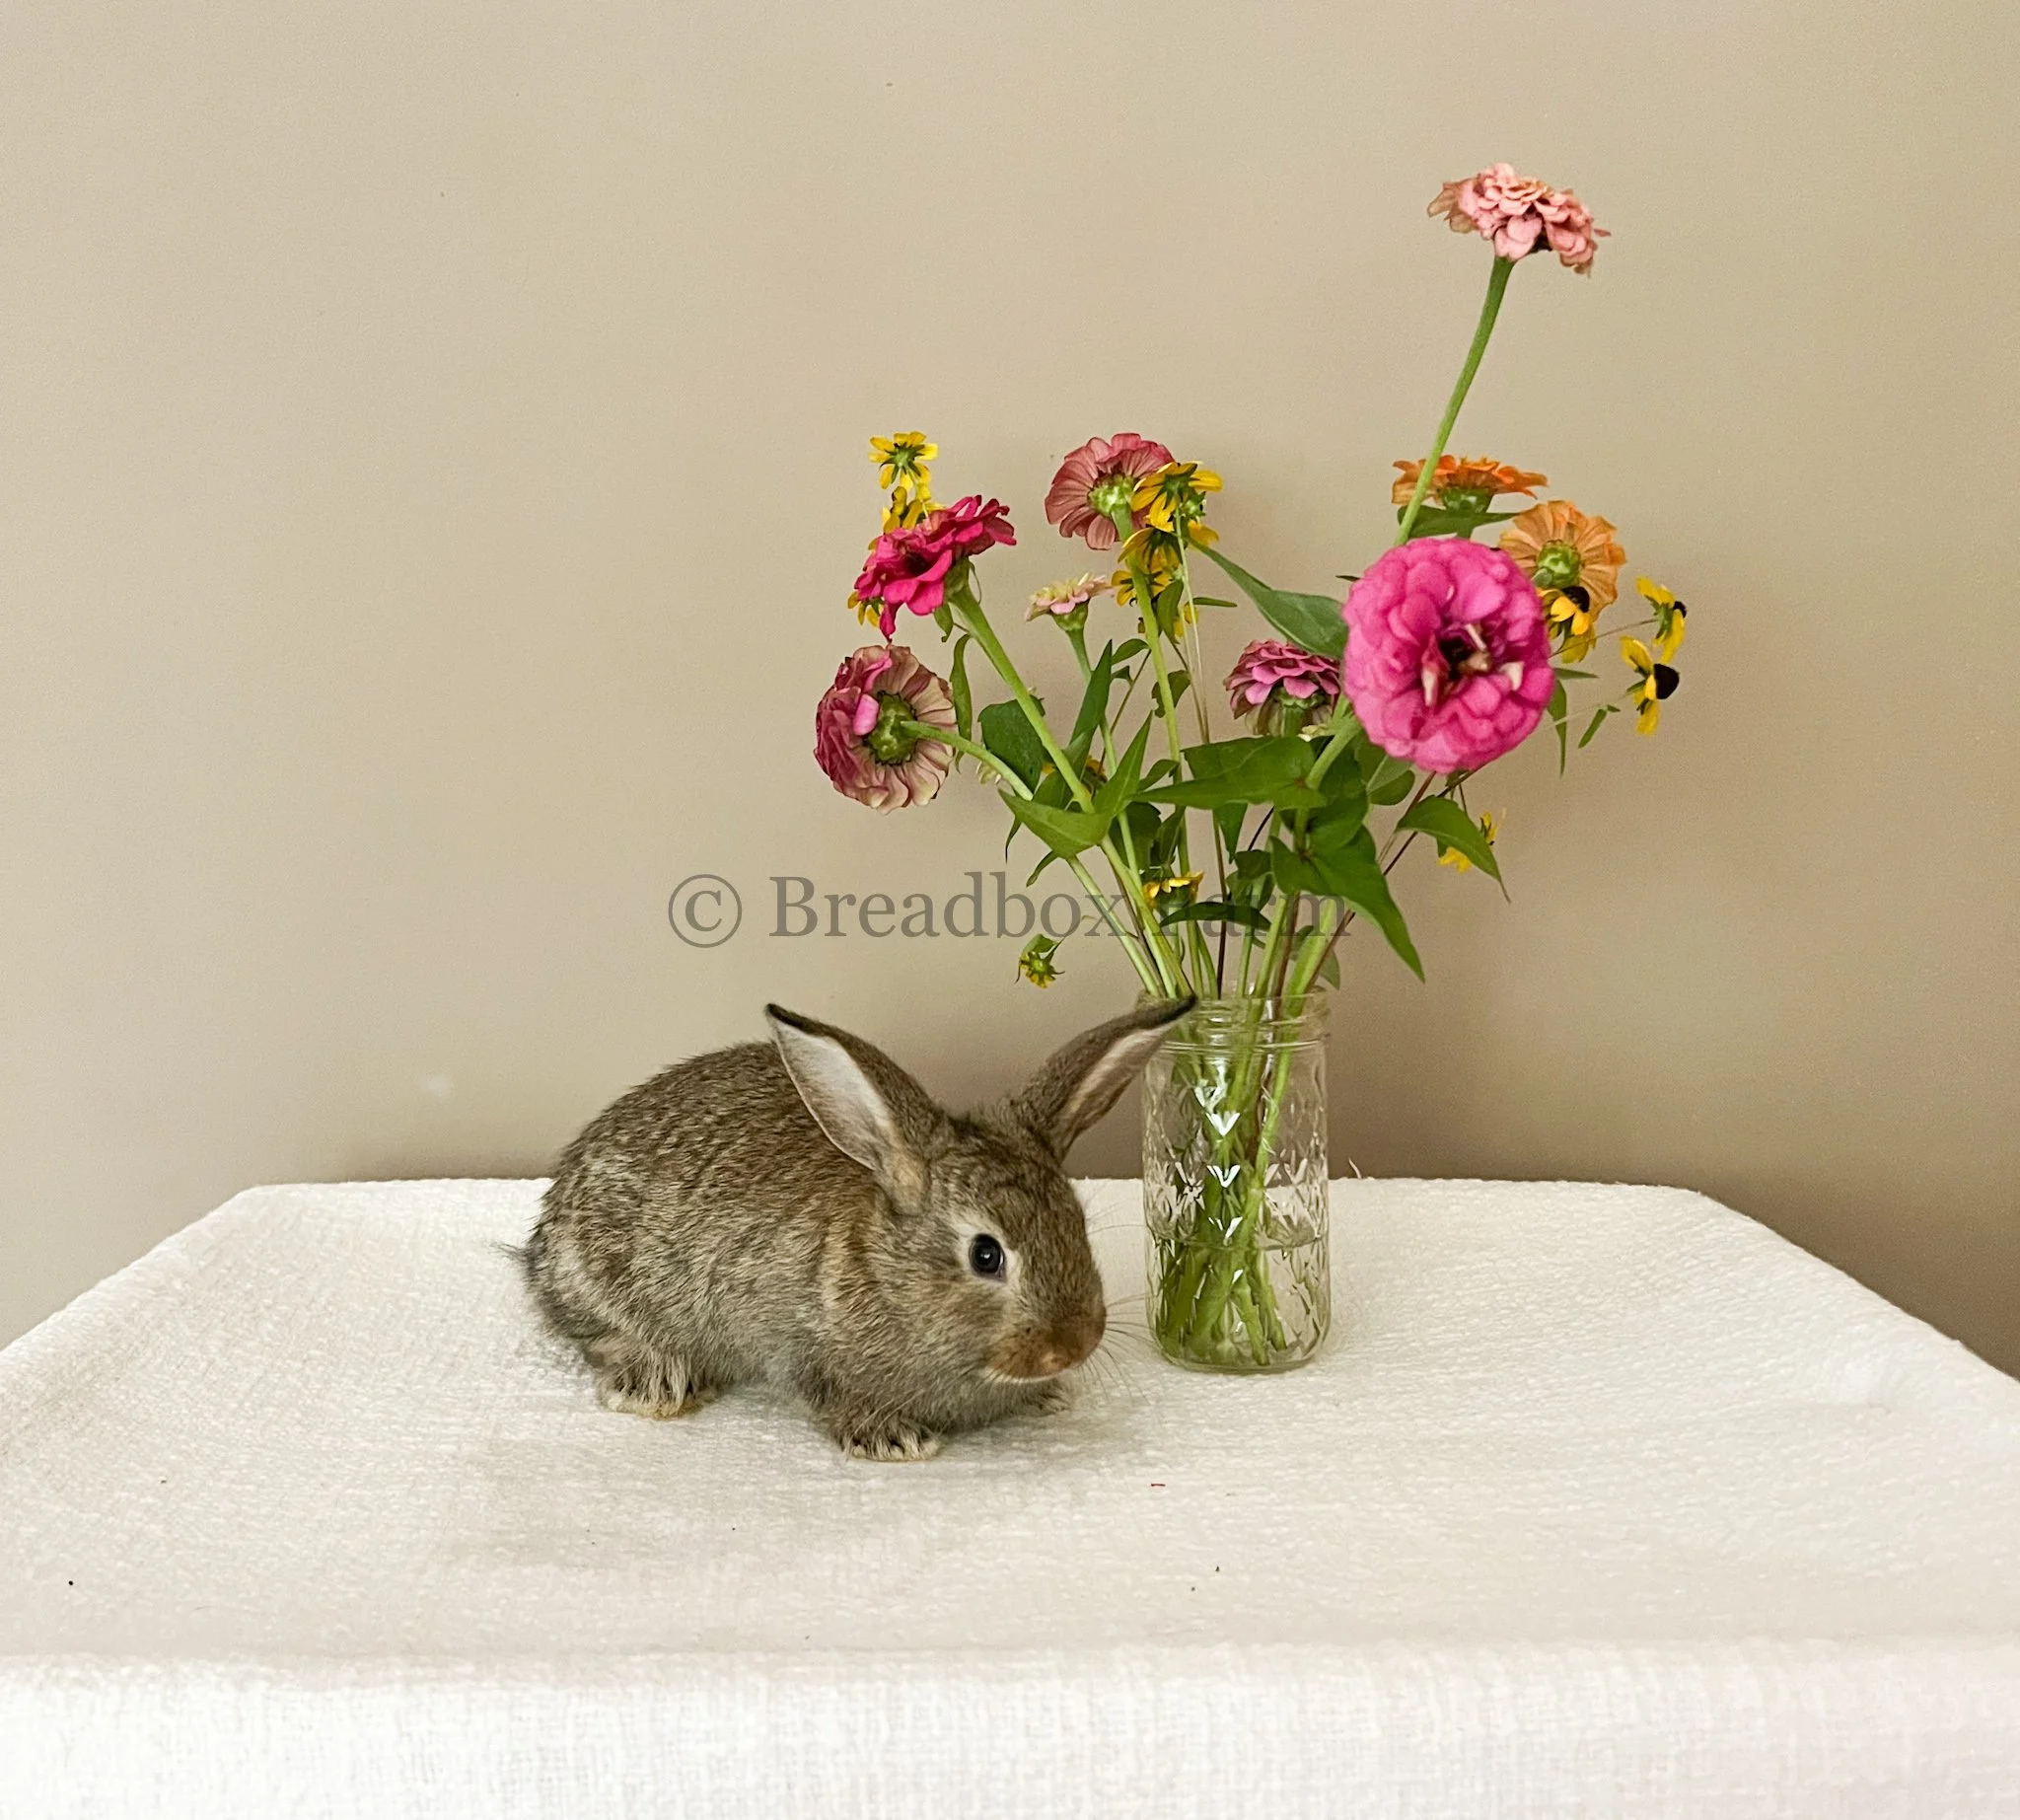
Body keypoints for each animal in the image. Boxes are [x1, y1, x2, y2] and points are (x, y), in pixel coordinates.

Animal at [524, 997, 1193, 1461]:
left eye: (1075, 1224)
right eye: (986, 1255)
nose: (1072, 1346)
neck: (889, 1276)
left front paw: (1048, 1395)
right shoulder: (799, 1348)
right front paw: (892, 1440)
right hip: (603, 1281)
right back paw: (656, 1384)